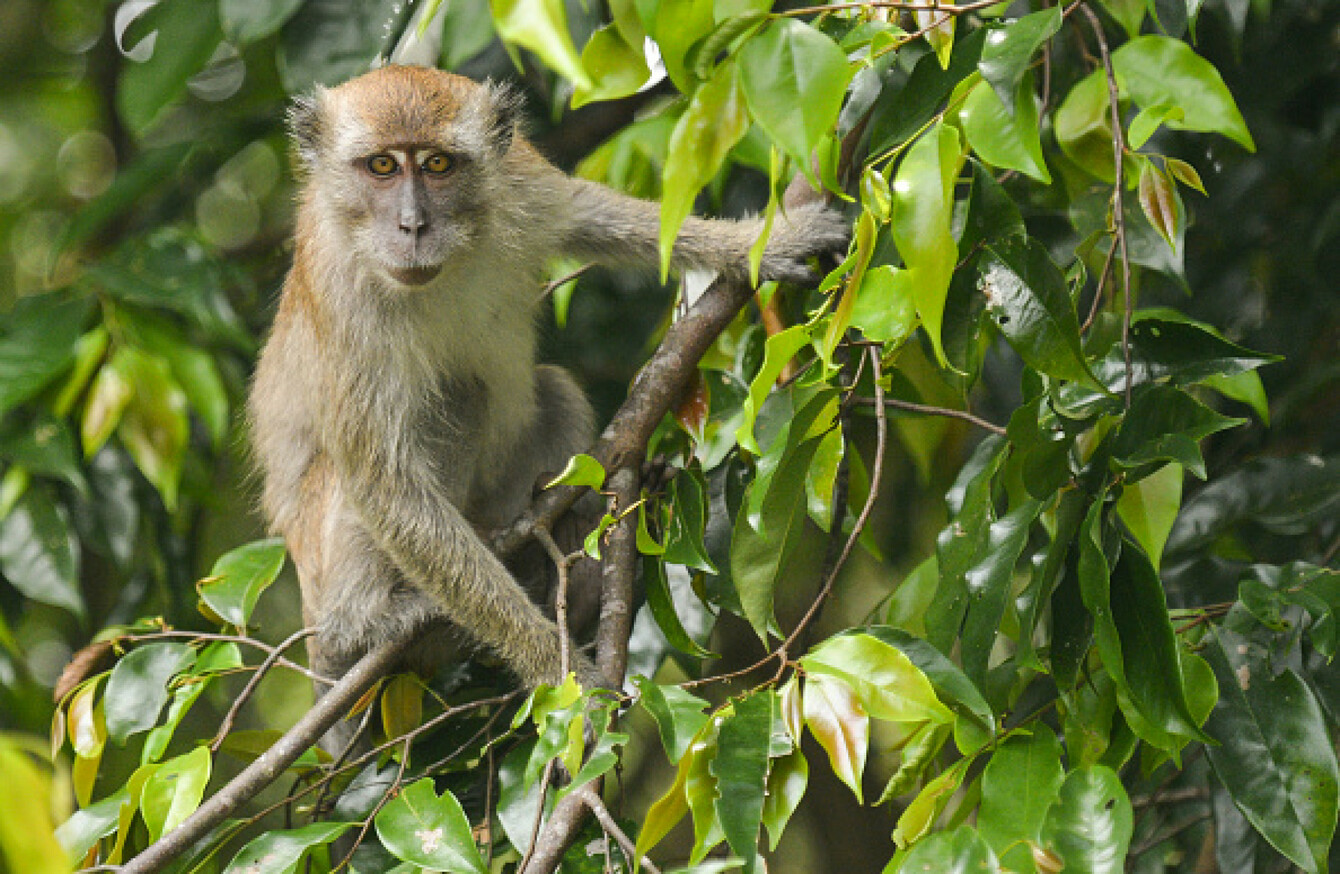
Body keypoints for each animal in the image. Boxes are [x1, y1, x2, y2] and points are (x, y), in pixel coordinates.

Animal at [247, 65, 849, 713]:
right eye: (381, 166)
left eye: (437, 164)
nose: (411, 225)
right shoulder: (344, 293)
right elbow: (384, 484)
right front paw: (565, 675)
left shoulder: (520, 181)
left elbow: (595, 216)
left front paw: (766, 244)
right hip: (321, 564)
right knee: (453, 402)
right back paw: (363, 623)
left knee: (550, 387)